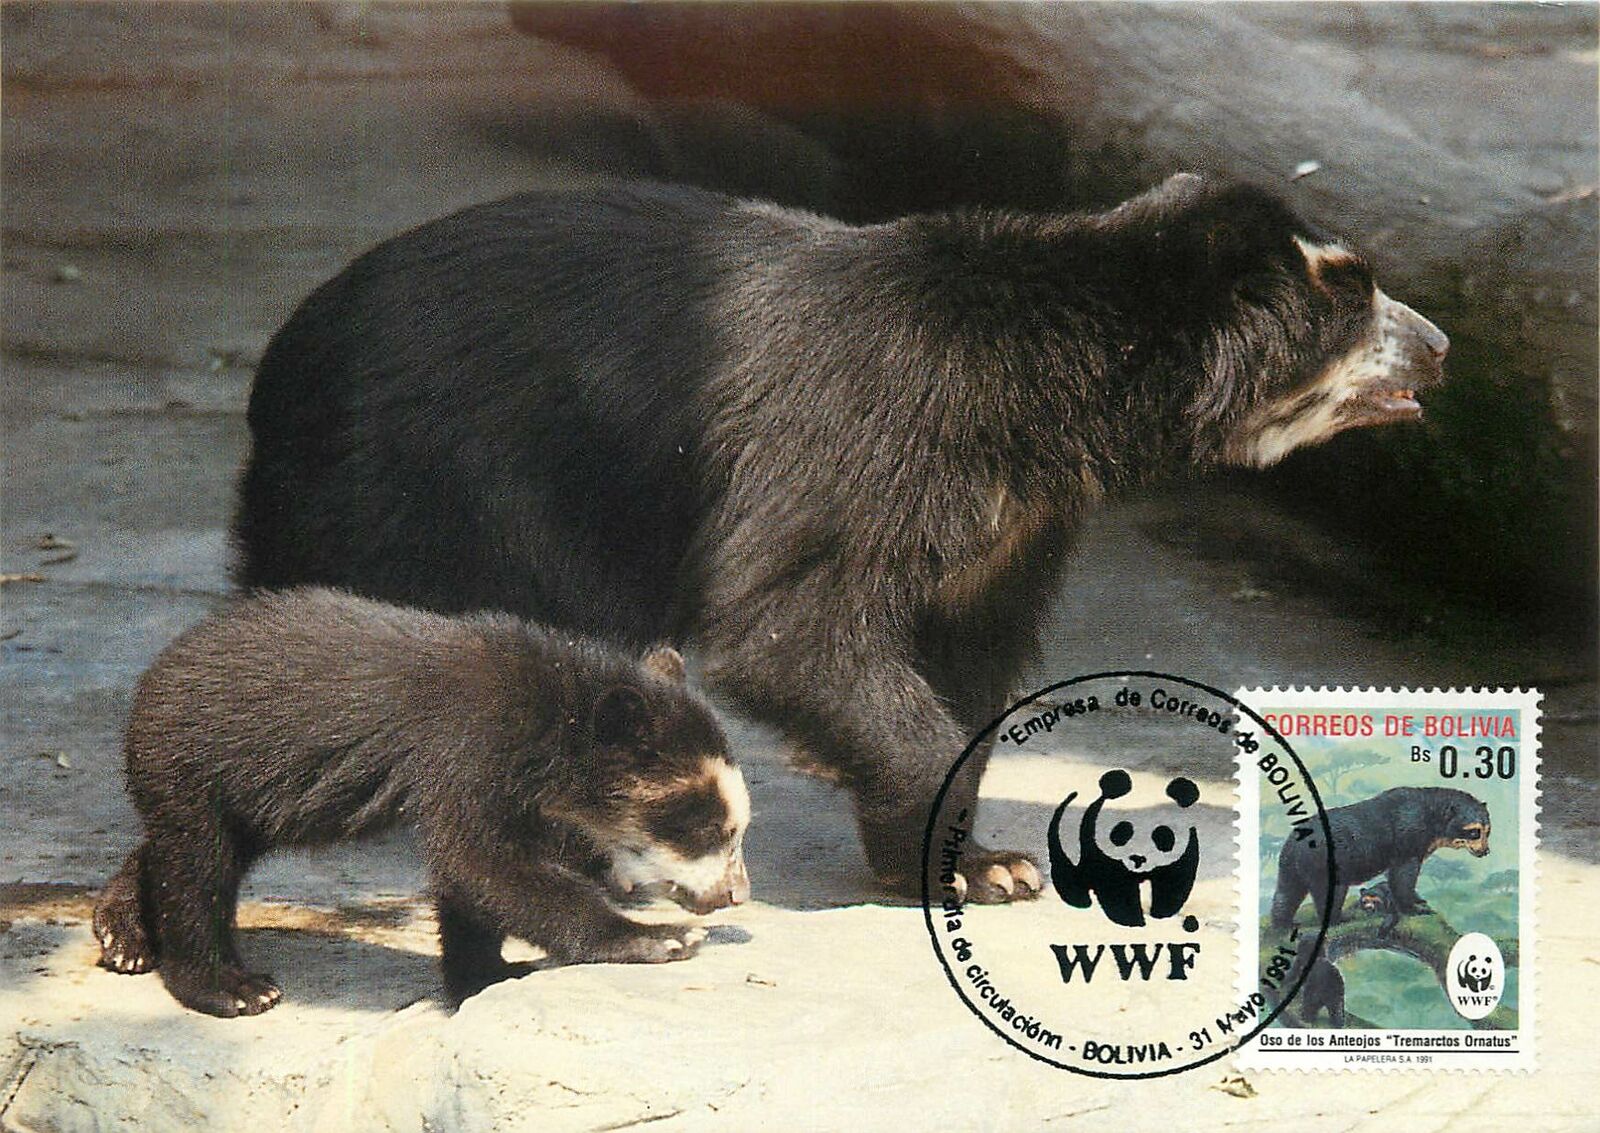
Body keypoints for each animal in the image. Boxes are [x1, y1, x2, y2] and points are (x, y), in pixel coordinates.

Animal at [91, 588, 750, 1017]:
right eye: (709, 828)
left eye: (735, 828)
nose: (733, 895)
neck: (553, 722)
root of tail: (156, 671)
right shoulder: (469, 751)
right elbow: (483, 864)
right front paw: (662, 939)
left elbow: (475, 878)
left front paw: (490, 975)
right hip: (197, 758)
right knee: (197, 865)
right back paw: (230, 986)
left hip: (259, 793)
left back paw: (123, 933)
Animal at [232, 175, 1449, 903]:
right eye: (1354, 295)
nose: (1438, 345)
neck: (1050, 396)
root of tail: (287, 349)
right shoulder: (870, 435)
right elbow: (795, 623)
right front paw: (984, 863)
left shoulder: (1011, 524)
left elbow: (961, 655)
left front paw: (967, 860)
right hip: (434, 476)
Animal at [1046, 769, 1201, 927]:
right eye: (1123, 831)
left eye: (1161, 836)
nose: (1138, 859)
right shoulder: (1100, 848)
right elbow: (1117, 886)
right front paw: (1133, 920)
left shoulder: (1183, 849)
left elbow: (1173, 880)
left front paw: (1160, 914)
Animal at [1270, 786, 1489, 931]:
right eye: (1474, 832)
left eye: (1488, 830)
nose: (1485, 851)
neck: (1431, 815)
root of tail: (1294, 843)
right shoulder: (1408, 835)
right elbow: (1403, 875)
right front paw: (1414, 908)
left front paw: (1419, 900)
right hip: (1324, 863)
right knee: (1328, 892)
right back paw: (1339, 919)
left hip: (1290, 865)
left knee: (1287, 892)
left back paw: (1283, 925)